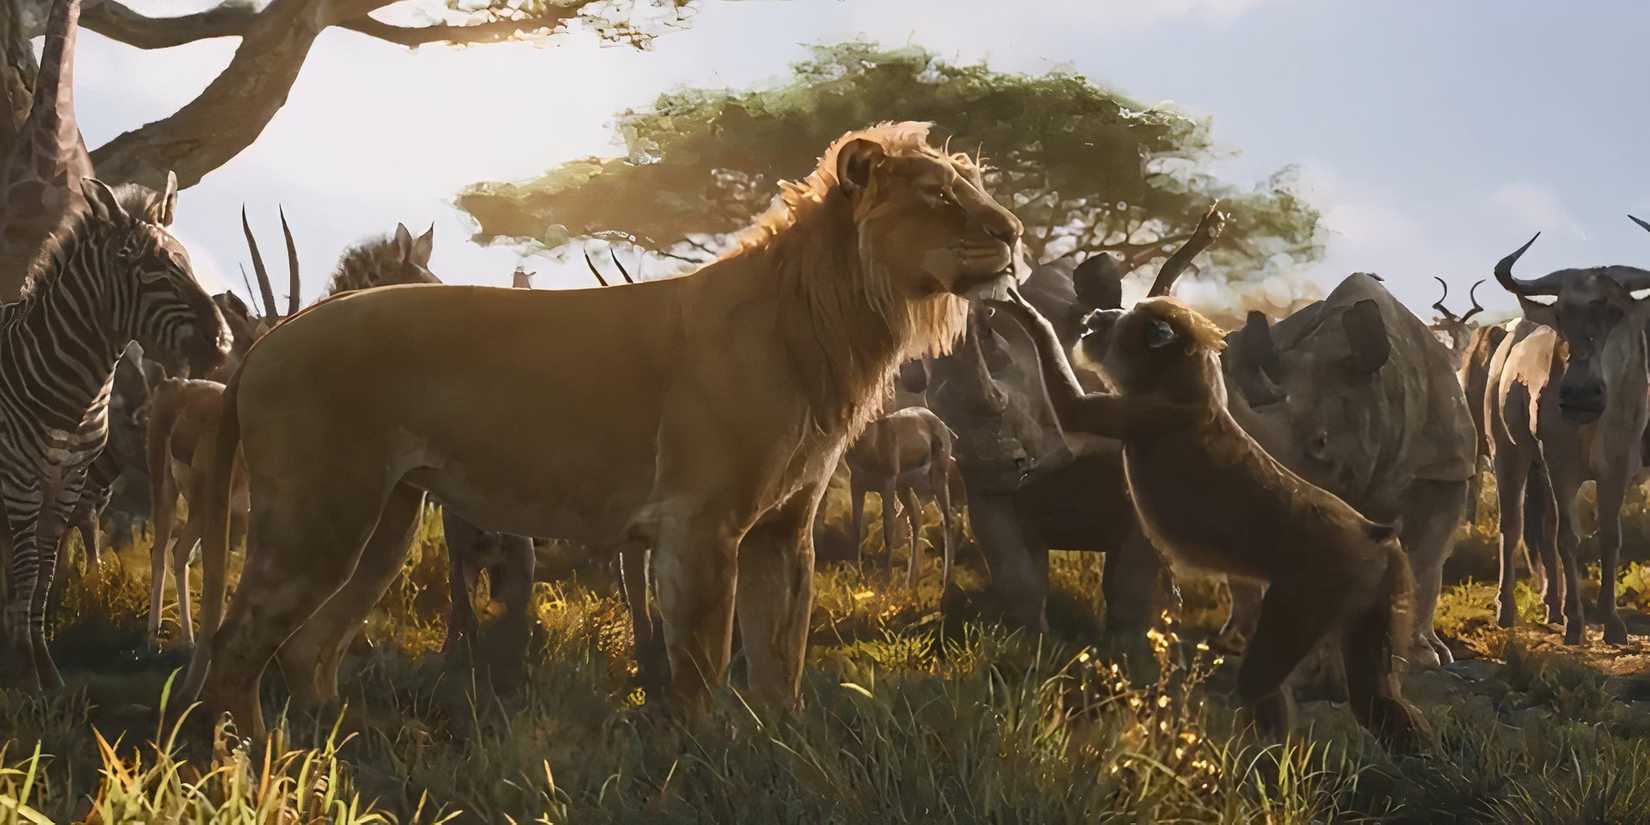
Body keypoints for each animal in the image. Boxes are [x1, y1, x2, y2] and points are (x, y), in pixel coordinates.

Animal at [181, 122, 1026, 739]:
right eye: (938, 193)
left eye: (974, 185)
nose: (1016, 231)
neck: (836, 319)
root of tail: (268, 341)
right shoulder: (700, 524)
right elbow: (702, 660)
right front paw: (697, 758)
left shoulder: (784, 530)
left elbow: (781, 660)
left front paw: (782, 754)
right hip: (317, 516)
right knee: (236, 646)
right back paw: (251, 758)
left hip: (385, 522)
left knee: (306, 644)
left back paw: (335, 740)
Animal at [985, 291, 1431, 754]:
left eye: (1129, 318)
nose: (1103, 314)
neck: (1183, 381)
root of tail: (1373, 534)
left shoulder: (1142, 413)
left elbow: (1072, 413)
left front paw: (1026, 316)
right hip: (1373, 595)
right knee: (1376, 697)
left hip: (1315, 591)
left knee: (1261, 679)